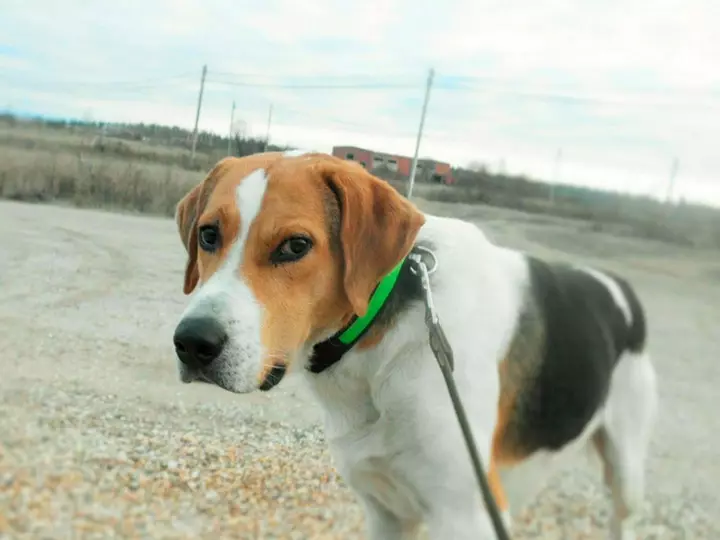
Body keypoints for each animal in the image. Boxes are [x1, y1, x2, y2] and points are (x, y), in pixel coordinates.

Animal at [173, 151, 660, 540]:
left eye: (295, 246)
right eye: (209, 234)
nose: (192, 343)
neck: (376, 342)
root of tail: (620, 288)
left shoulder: (465, 516)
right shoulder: (386, 513)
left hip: (626, 475)